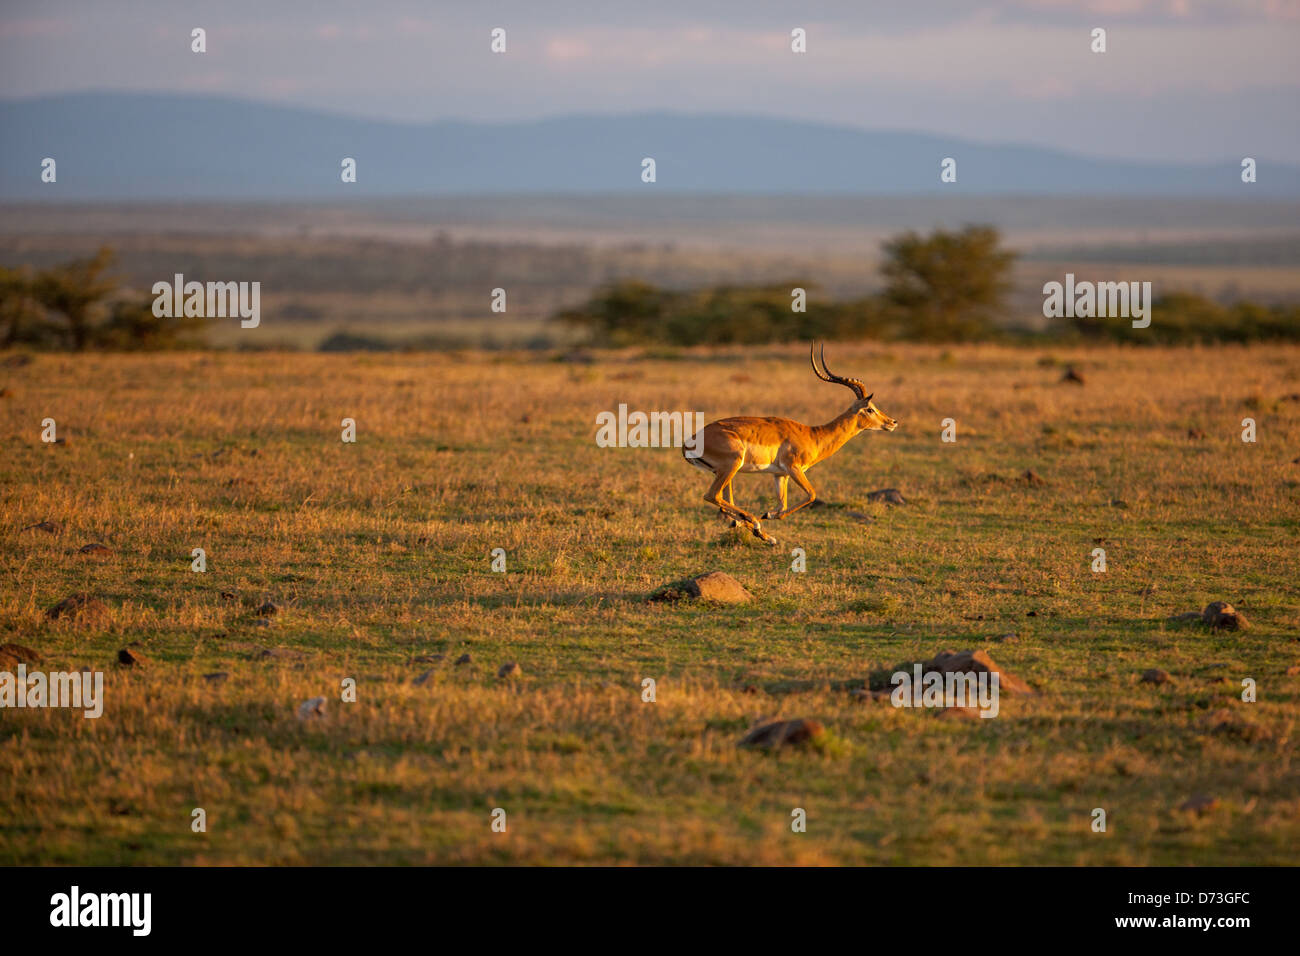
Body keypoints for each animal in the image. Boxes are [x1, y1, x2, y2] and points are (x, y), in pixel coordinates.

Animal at [683, 344, 899, 544]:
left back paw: (762, 534)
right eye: (870, 409)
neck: (813, 435)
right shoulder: (793, 468)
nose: (892, 422)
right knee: (712, 495)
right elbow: (811, 495)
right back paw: (757, 526)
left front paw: (767, 515)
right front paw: (767, 516)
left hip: (724, 472)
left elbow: (783, 504)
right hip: (732, 465)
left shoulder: (780, 475)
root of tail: (690, 442)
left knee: (724, 502)